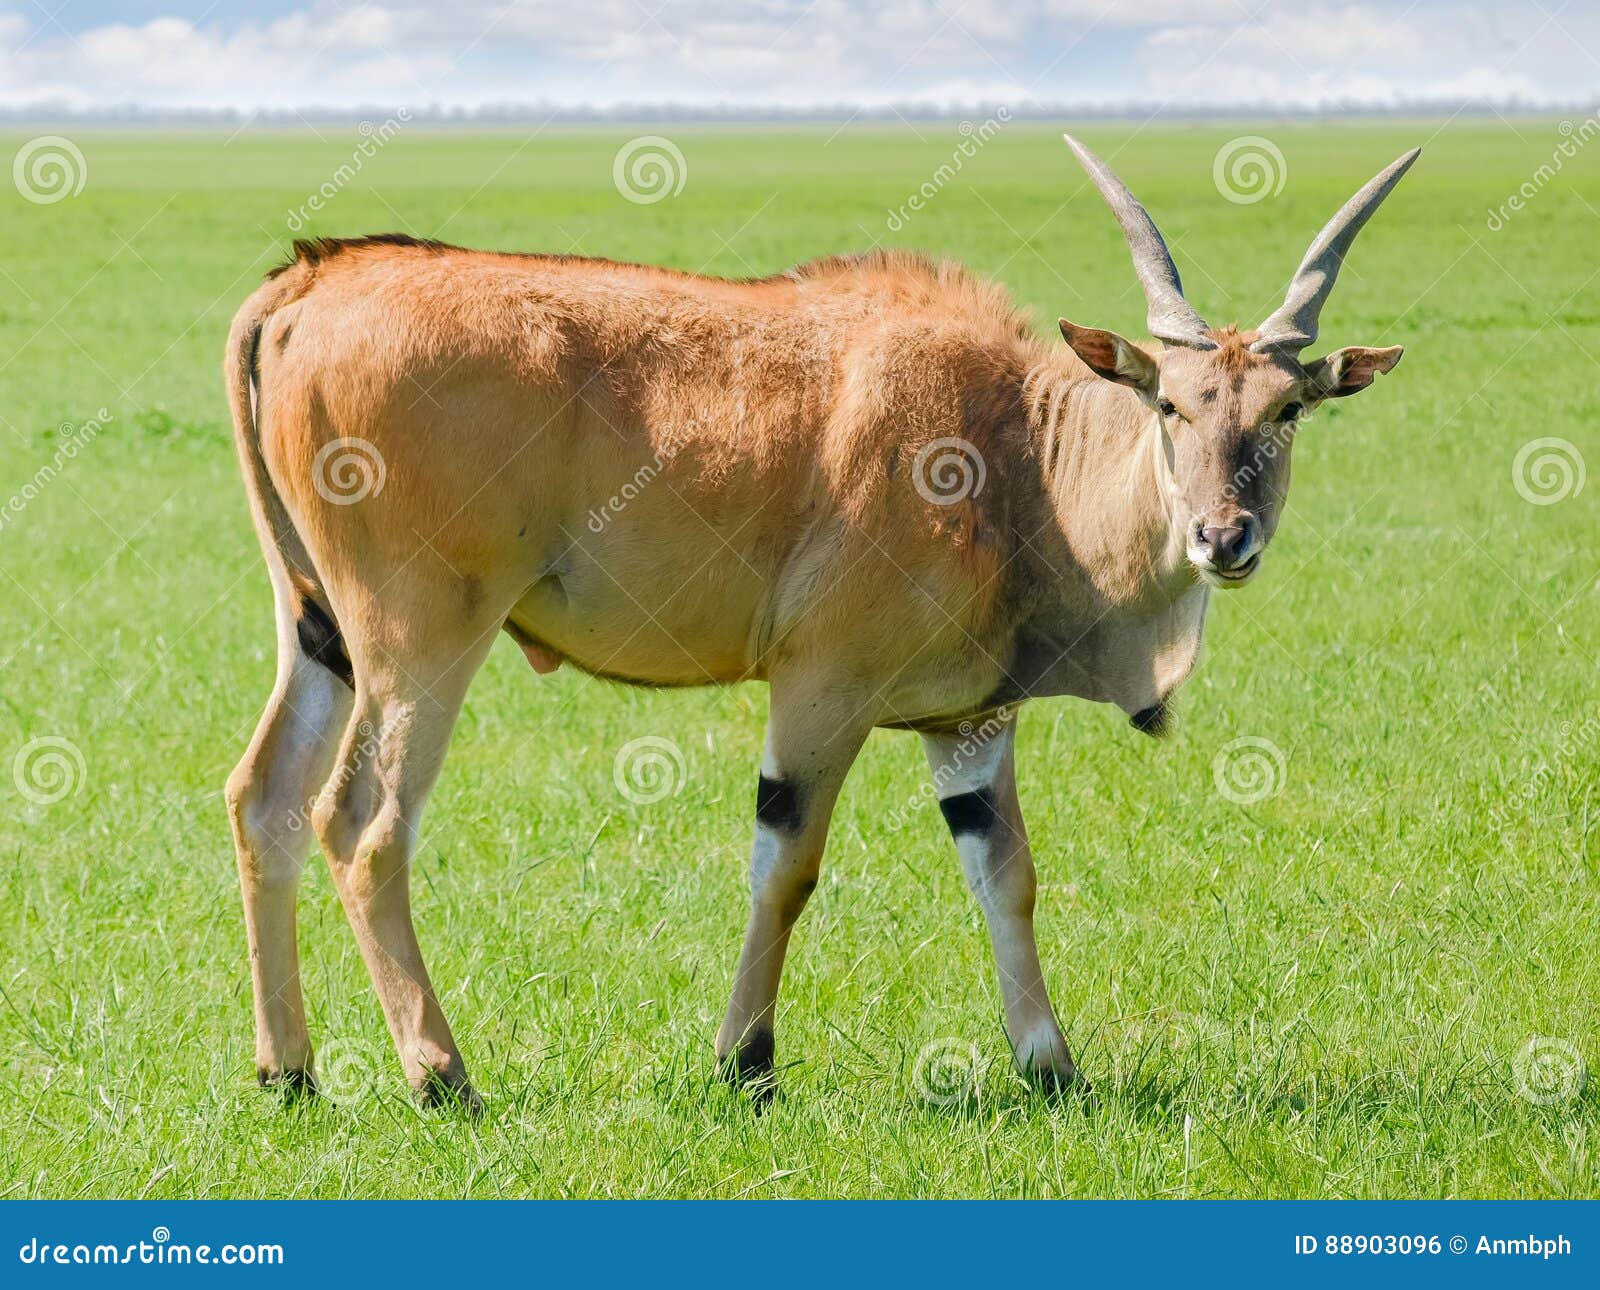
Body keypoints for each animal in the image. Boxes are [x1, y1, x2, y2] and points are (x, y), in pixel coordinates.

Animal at [224, 136, 1416, 1108]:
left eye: (1285, 410)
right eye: (1169, 403)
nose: (1225, 537)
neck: (1017, 450)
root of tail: (307, 283)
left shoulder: (970, 725)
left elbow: (1008, 874)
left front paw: (1052, 1066)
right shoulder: (819, 690)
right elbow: (786, 864)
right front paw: (743, 1064)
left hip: (320, 634)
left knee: (264, 798)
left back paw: (290, 1072)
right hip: (423, 640)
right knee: (361, 824)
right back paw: (441, 1076)